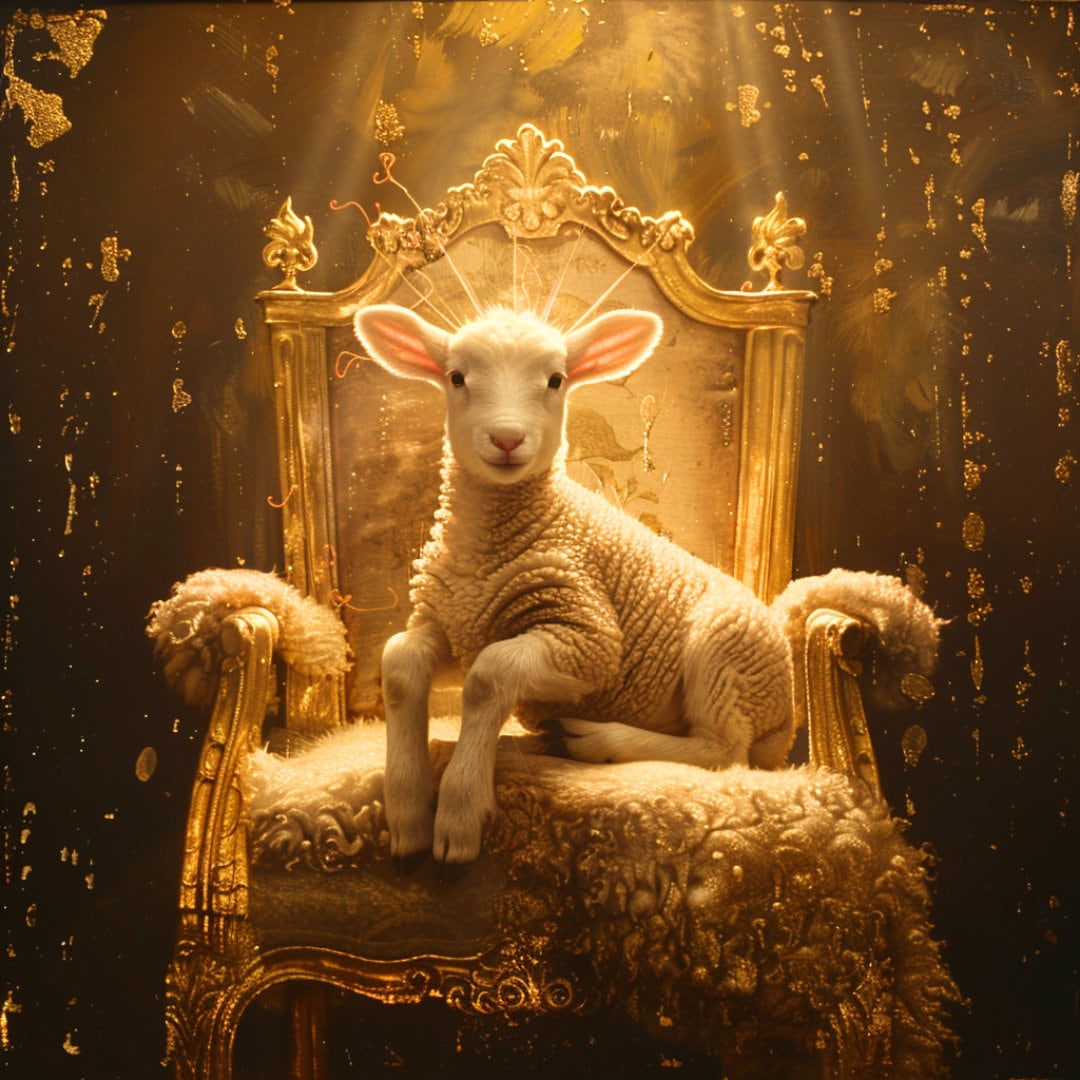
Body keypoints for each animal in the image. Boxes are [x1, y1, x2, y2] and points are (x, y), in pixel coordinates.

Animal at [354, 303, 941, 867]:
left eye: (556, 380)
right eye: (456, 377)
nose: (506, 439)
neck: (493, 547)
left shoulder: (588, 638)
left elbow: (488, 678)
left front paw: (458, 814)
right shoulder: (453, 623)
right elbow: (400, 664)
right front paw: (407, 813)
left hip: (725, 656)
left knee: (723, 751)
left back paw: (593, 740)